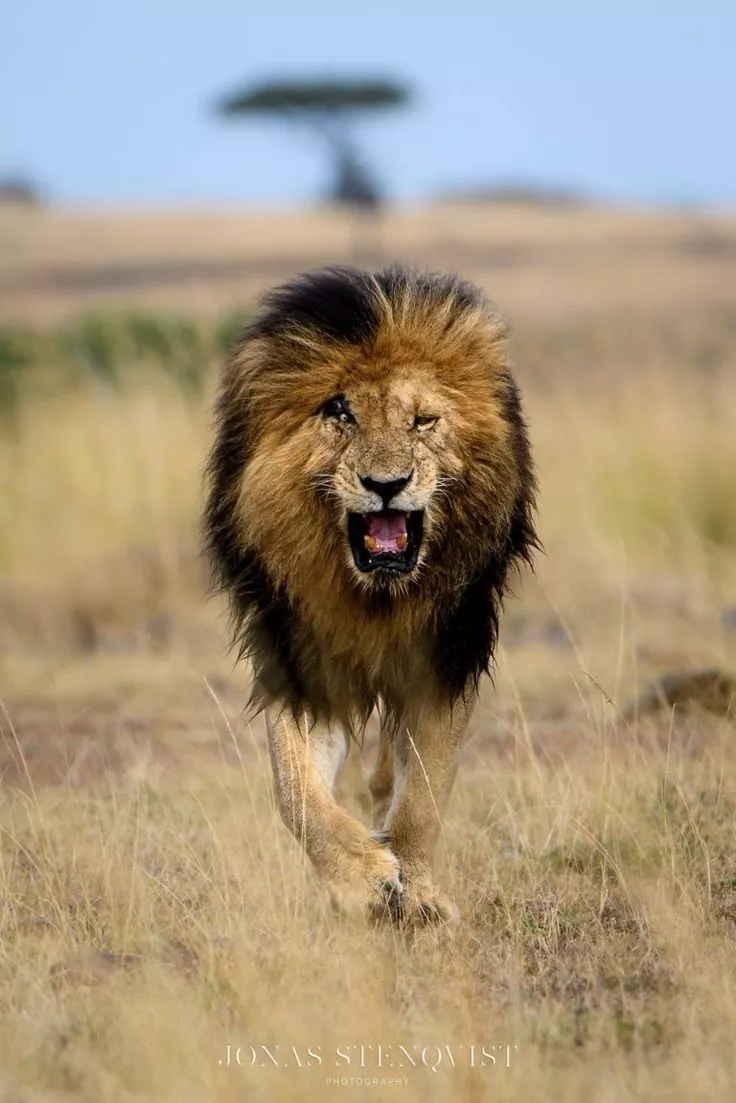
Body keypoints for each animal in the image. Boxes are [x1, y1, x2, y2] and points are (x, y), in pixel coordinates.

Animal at [205, 265, 538, 927]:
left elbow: (426, 792)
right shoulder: (299, 663)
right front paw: (359, 879)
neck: (376, 597)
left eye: (423, 421)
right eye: (341, 413)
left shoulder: (447, 658)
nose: (387, 484)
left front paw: (419, 891)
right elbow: (295, 793)